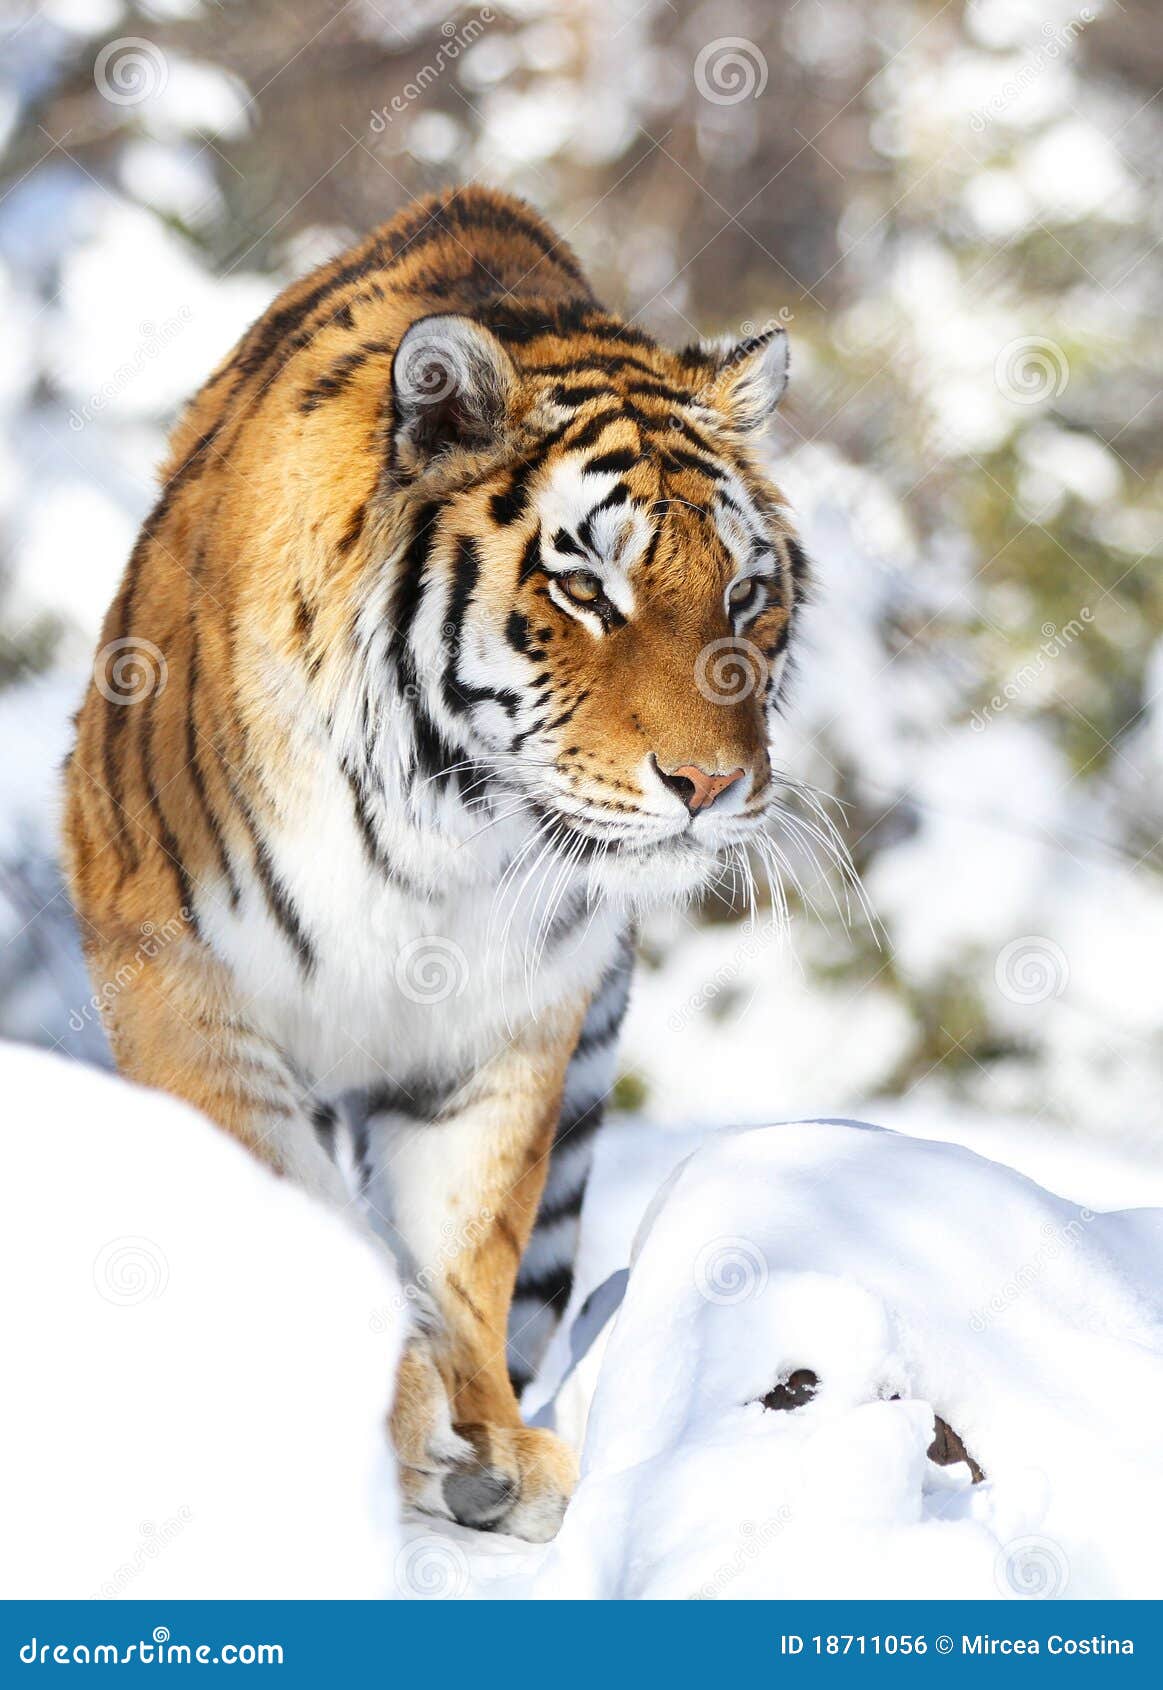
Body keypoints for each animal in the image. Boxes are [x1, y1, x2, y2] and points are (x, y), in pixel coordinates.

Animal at [62, 185, 806, 1543]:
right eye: (586, 586)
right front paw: (390, 1412)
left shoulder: (501, 1033)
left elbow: (465, 1241)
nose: (712, 787)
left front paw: (484, 1441)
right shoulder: (187, 983)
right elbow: (298, 1198)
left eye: (742, 595)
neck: (447, 823)